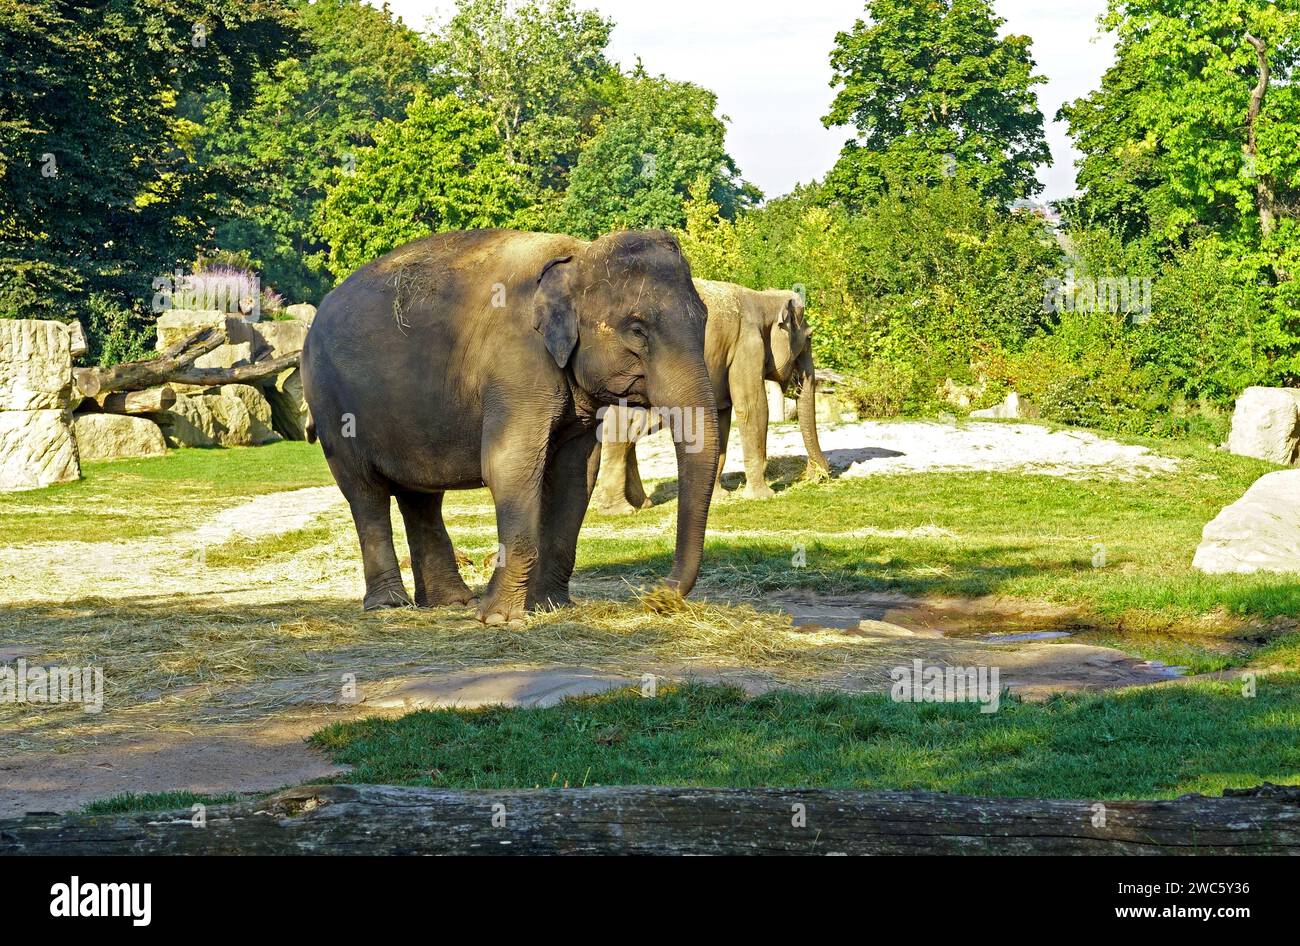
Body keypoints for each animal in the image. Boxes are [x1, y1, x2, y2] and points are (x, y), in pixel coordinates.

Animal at [301, 228, 720, 621]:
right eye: (637, 329)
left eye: (704, 319)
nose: (656, 596)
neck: (576, 255)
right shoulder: (516, 366)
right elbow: (510, 465)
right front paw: (498, 617)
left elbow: (576, 473)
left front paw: (548, 606)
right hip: (330, 404)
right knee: (365, 492)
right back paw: (390, 605)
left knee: (420, 496)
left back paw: (451, 602)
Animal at [590, 278, 830, 512]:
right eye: (809, 337)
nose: (816, 475)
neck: (762, 298)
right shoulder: (747, 345)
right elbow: (752, 406)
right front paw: (762, 496)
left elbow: (720, 417)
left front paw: (718, 497)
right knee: (621, 433)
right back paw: (620, 510)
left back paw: (644, 505)